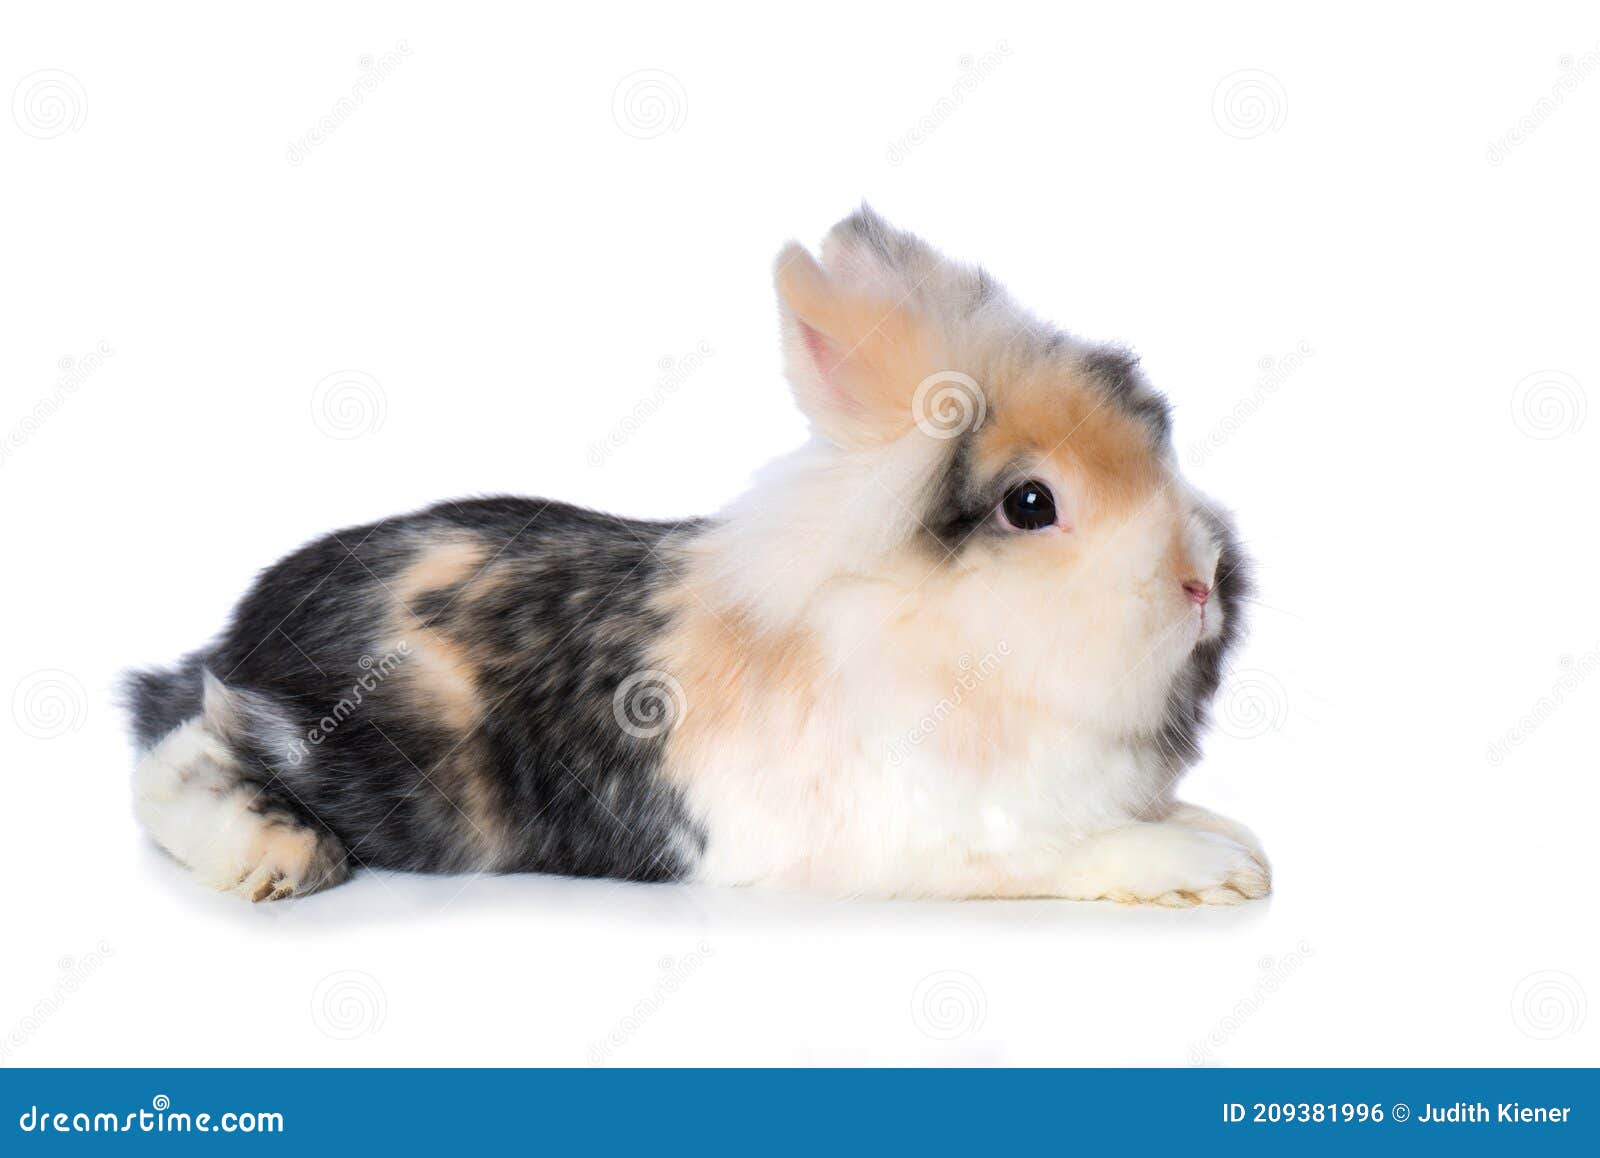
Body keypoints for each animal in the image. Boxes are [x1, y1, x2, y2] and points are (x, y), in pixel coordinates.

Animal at [123, 206, 1267, 906]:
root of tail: (239, 636)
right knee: (176, 756)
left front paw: (1240, 841)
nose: (1202, 581)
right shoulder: (953, 838)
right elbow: (1077, 851)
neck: (929, 636)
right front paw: (1210, 867)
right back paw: (282, 859)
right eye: (1031, 503)